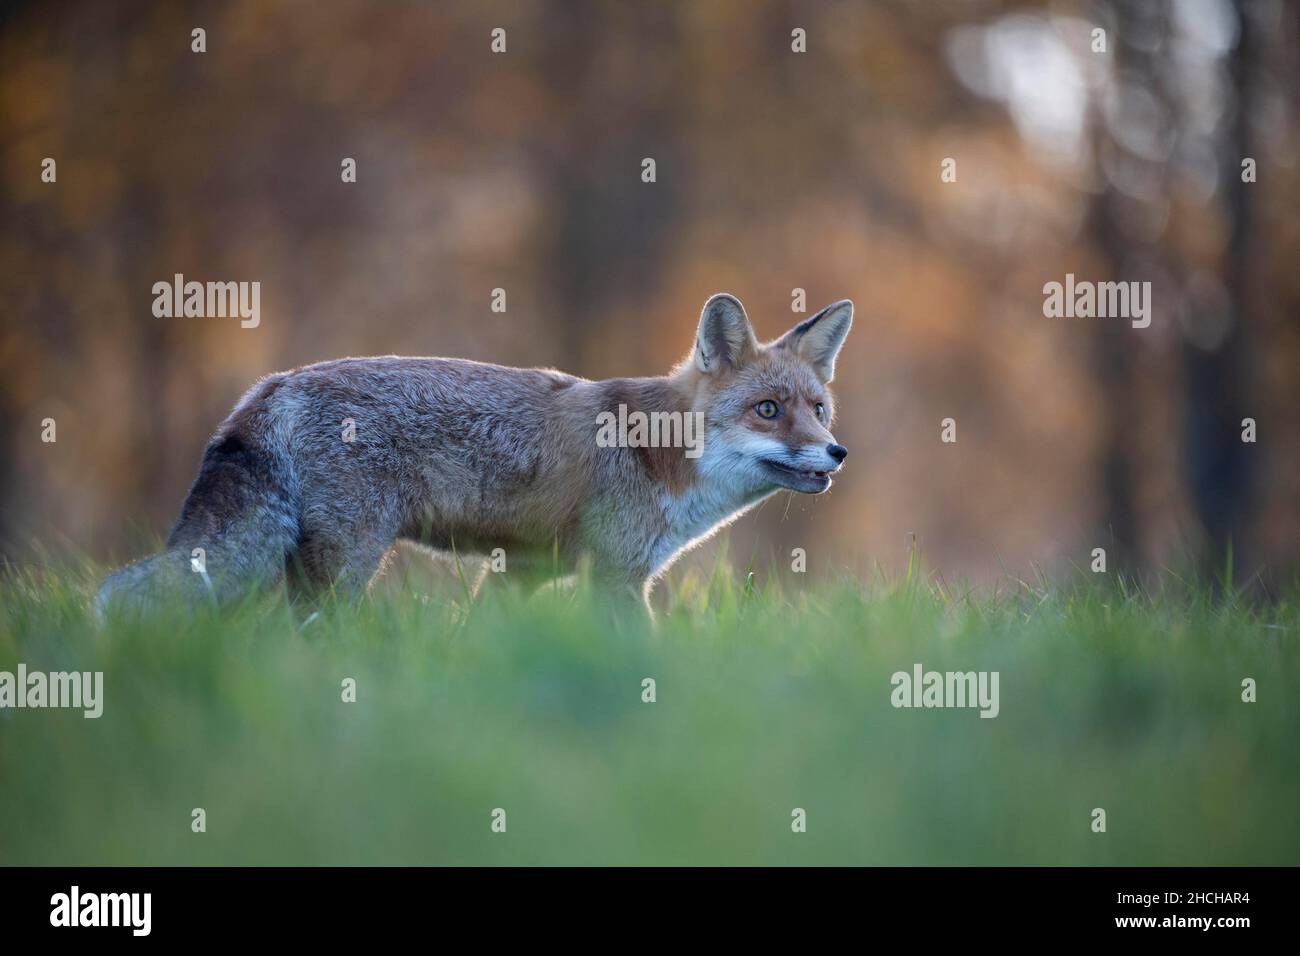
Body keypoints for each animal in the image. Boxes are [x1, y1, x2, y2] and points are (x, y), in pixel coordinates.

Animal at [96, 293, 852, 617]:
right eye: (767, 410)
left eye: (818, 409)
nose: (836, 453)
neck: (653, 450)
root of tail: (273, 385)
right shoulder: (616, 576)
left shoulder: (522, 573)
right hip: (347, 564)